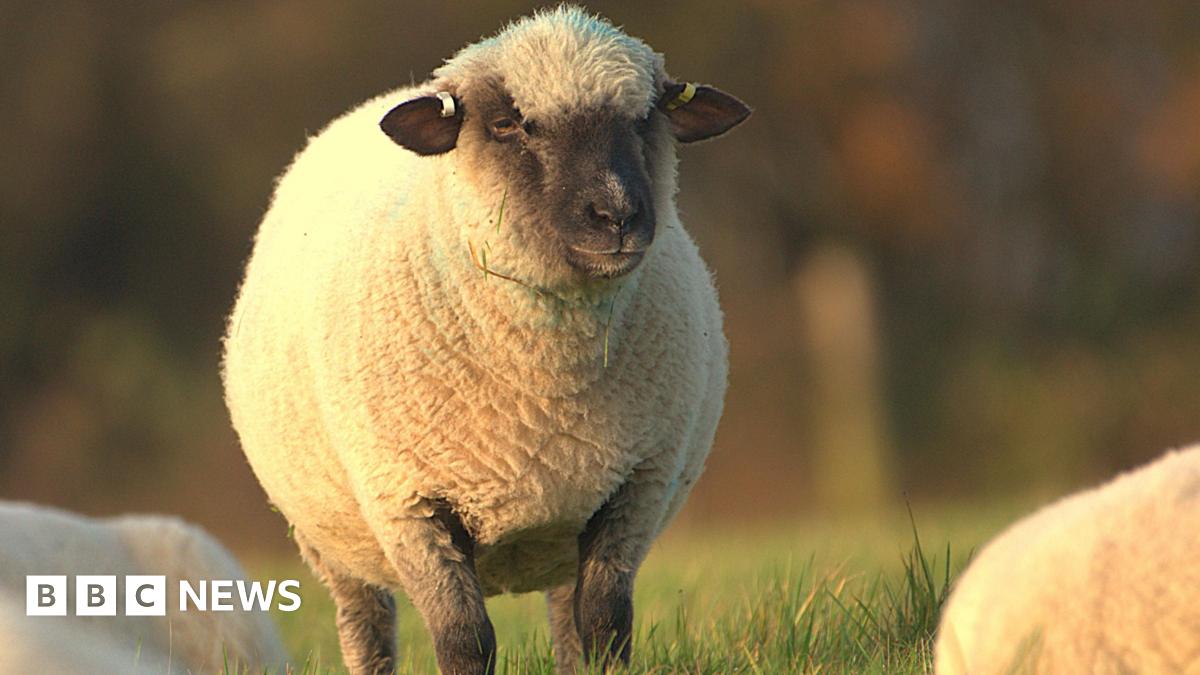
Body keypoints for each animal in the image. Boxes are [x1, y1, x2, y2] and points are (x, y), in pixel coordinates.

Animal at [221, 5, 750, 674]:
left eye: (643, 119)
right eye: (506, 124)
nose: (617, 216)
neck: (543, 380)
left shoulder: (636, 487)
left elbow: (605, 625)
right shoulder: (408, 503)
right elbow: (464, 638)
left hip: (566, 516)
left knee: (567, 618)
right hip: (329, 537)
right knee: (365, 625)